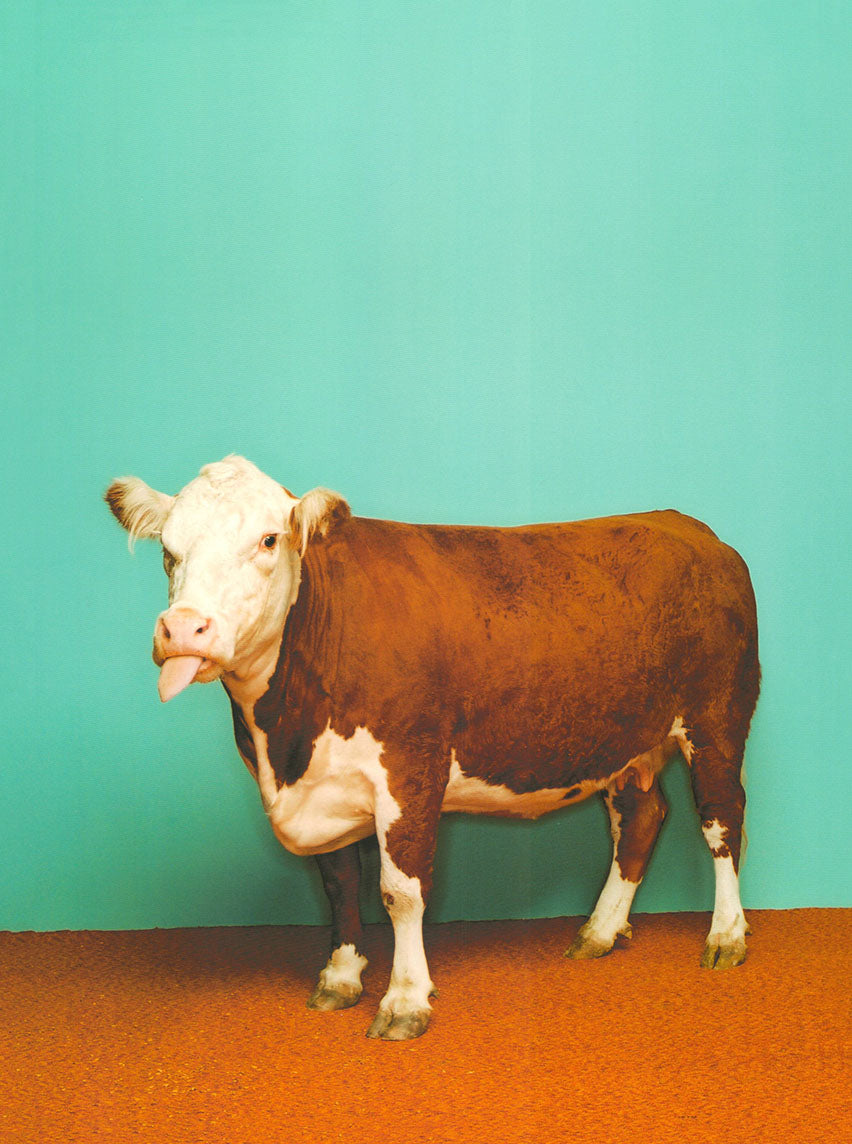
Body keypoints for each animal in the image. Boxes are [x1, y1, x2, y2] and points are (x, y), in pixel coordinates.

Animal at [105, 455, 760, 1040]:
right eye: (168, 548)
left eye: (269, 540)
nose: (183, 628)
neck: (285, 745)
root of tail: (688, 527)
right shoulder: (326, 786)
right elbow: (339, 882)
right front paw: (341, 977)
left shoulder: (411, 769)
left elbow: (401, 891)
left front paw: (404, 1000)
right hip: (624, 742)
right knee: (641, 817)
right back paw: (599, 931)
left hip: (717, 720)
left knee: (721, 819)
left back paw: (726, 934)